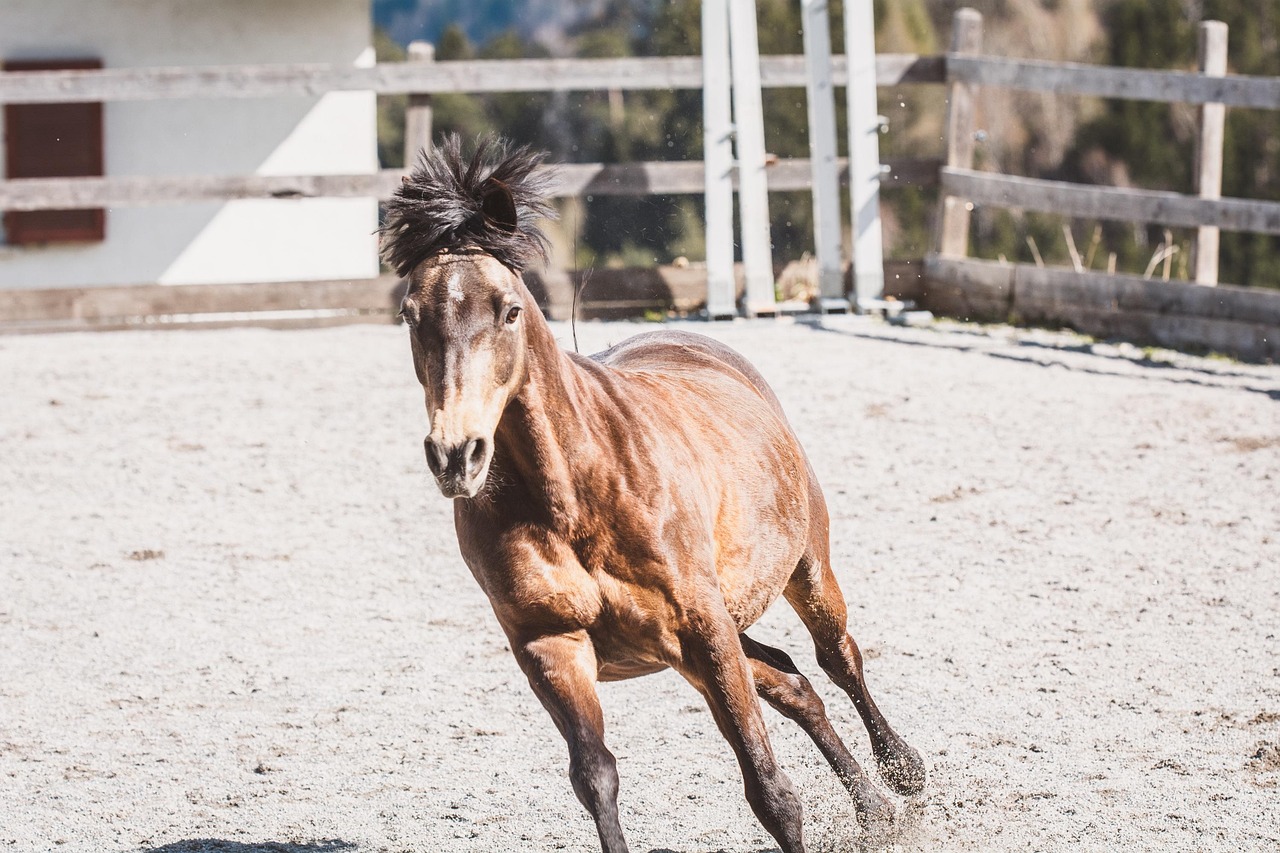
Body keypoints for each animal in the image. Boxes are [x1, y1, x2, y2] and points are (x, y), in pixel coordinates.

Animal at [382, 135, 925, 853]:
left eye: (509, 311)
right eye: (411, 315)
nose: (455, 455)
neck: (571, 498)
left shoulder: (701, 627)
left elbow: (771, 791)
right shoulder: (552, 646)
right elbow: (595, 778)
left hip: (799, 571)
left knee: (837, 658)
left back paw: (903, 771)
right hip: (707, 634)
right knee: (791, 680)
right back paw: (873, 808)